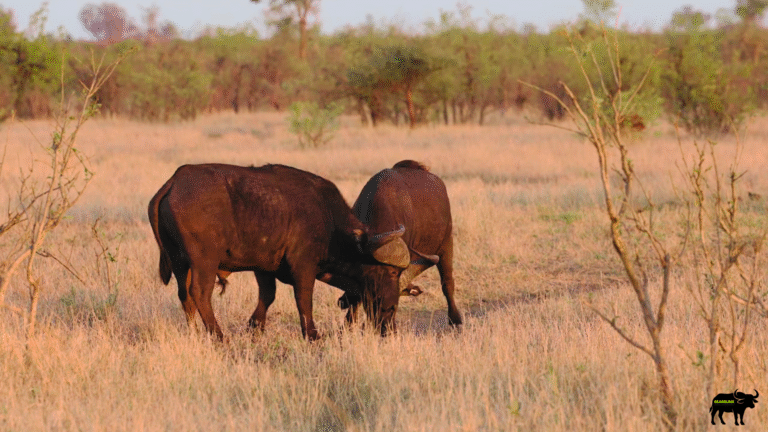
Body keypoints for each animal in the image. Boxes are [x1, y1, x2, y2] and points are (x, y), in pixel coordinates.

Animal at [148, 163, 410, 340]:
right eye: (392, 273)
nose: (391, 309)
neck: (330, 221)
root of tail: (175, 181)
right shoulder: (303, 268)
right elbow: (304, 300)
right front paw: (312, 334)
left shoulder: (263, 267)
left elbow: (268, 295)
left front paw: (255, 326)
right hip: (204, 261)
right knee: (200, 294)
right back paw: (219, 336)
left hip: (179, 263)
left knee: (185, 295)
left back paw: (194, 333)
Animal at [337, 160, 463, 334]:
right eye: (372, 302)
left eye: (393, 306)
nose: (386, 328)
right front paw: (346, 327)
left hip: (446, 244)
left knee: (447, 282)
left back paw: (455, 320)